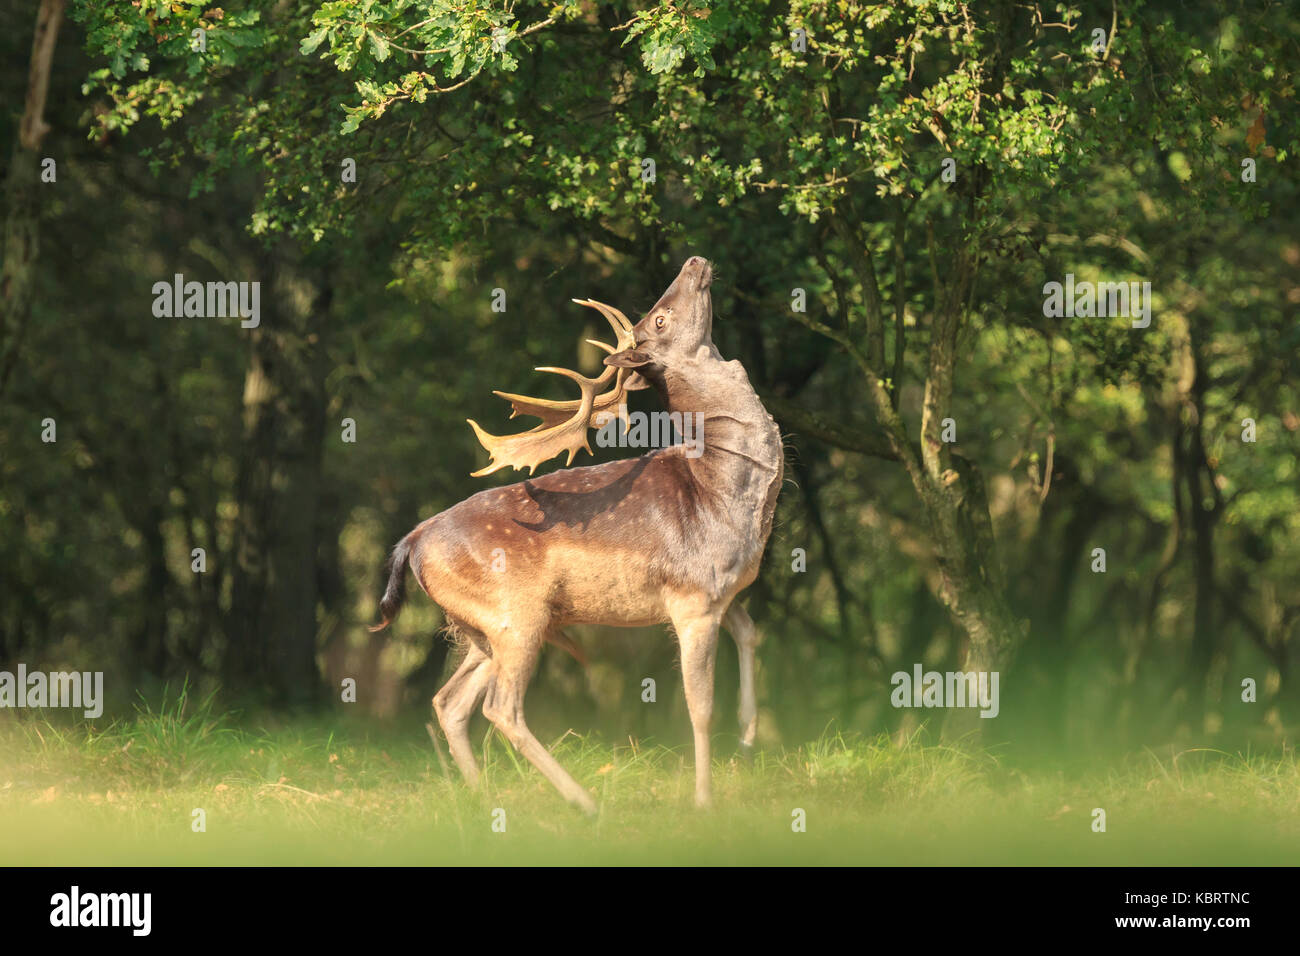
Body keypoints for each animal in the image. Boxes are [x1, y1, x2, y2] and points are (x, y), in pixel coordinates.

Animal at [370, 256, 784, 813]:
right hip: (517, 614)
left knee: (449, 701)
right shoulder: (692, 596)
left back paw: (483, 796)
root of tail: (412, 541)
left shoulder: (727, 592)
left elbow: (752, 632)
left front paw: (748, 738)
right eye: (658, 319)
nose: (695, 262)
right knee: (501, 709)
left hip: (481, 627)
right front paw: (704, 799)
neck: (723, 489)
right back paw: (584, 802)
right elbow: (700, 707)